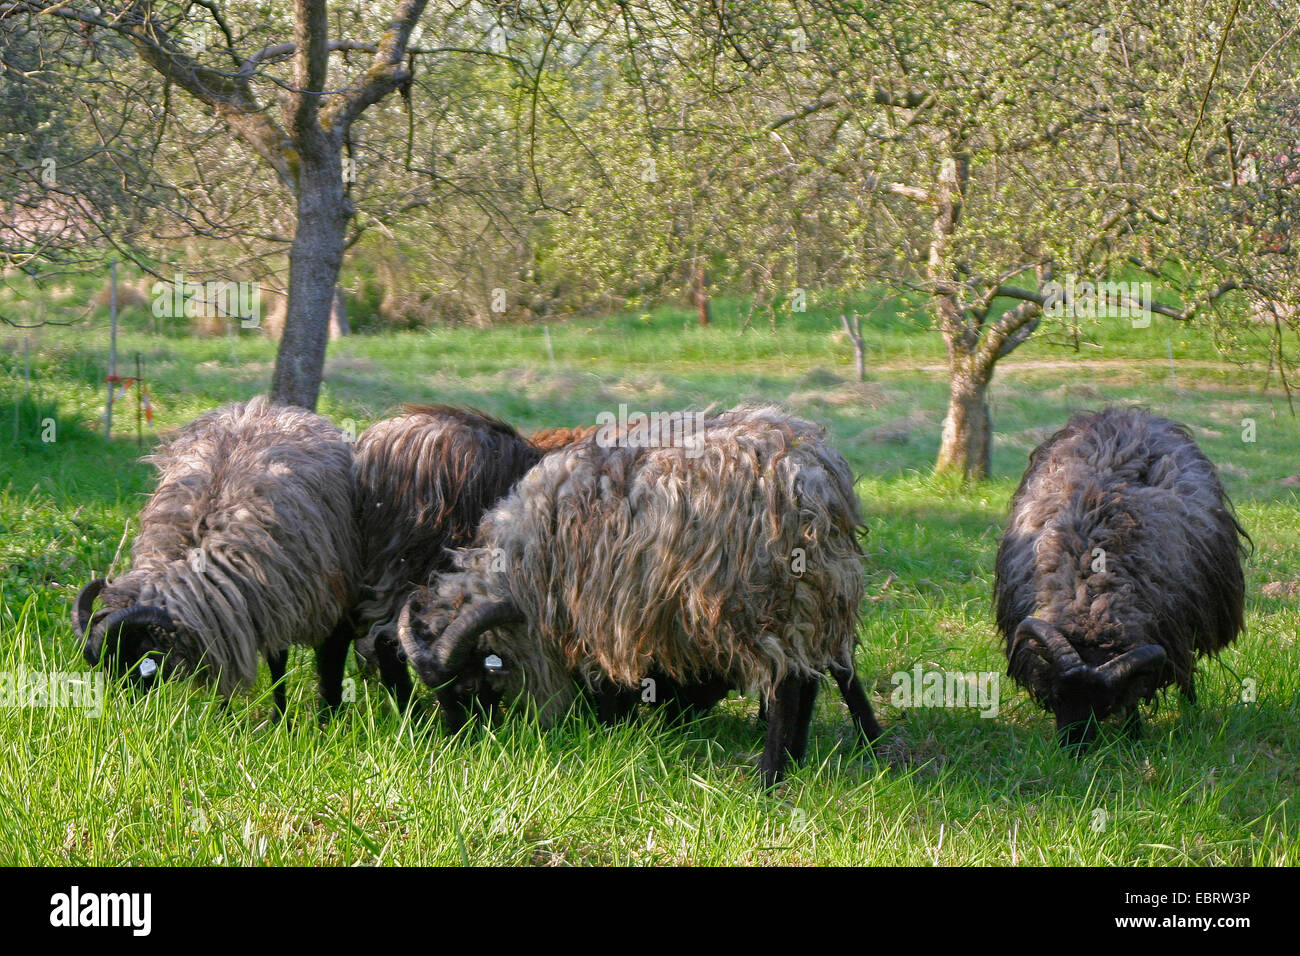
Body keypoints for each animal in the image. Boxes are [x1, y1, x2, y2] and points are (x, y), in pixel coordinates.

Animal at [71, 396, 359, 714]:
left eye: (135, 658)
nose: (126, 712)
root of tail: (268, 406)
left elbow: (318, 662)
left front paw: (312, 716)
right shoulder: (259, 608)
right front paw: (232, 715)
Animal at [397, 405, 883, 785]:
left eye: (467, 685)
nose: (460, 742)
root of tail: (815, 479)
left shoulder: (600, 612)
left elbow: (609, 684)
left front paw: (609, 729)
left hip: (764, 599)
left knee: (788, 684)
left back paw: (770, 777)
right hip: (817, 591)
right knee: (817, 673)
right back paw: (819, 757)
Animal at [994, 407, 1249, 748]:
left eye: (1104, 705)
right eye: (1057, 696)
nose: (1073, 751)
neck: (1090, 593)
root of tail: (1127, 414)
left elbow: (1136, 695)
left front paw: (1133, 736)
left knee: (1187, 674)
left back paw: (1191, 712)